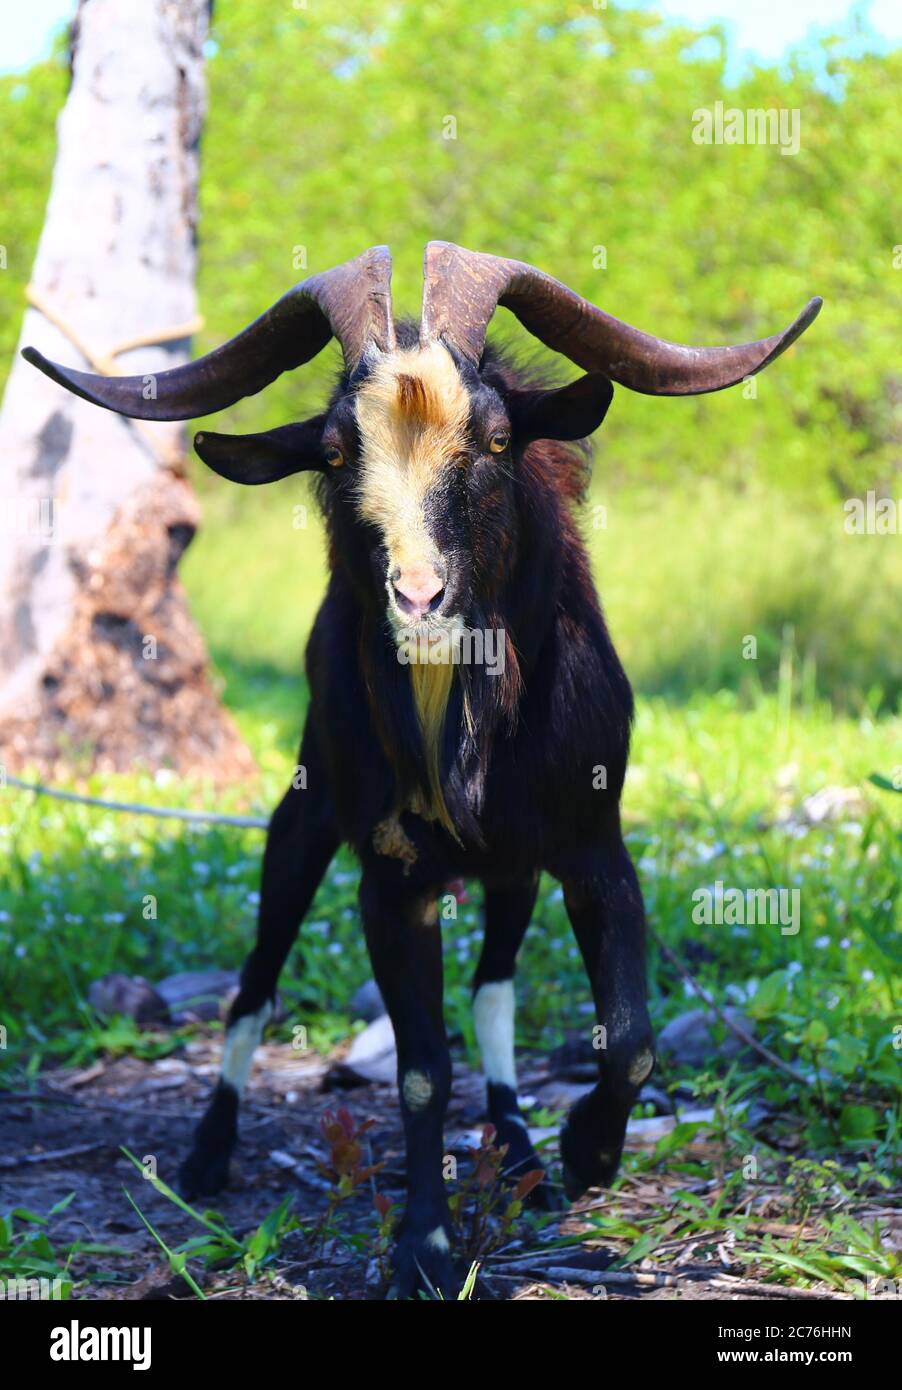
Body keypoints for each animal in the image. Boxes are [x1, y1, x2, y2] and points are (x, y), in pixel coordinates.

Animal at [25, 243, 821, 1297]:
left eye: (494, 439)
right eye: (334, 451)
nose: (419, 597)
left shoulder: (592, 846)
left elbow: (631, 1041)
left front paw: (584, 1155)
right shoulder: (392, 876)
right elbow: (417, 1068)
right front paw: (426, 1251)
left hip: (512, 871)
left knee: (494, 985)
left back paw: (519, 1149)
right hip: (300, 820)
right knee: (256, 977)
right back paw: (205, 1154)